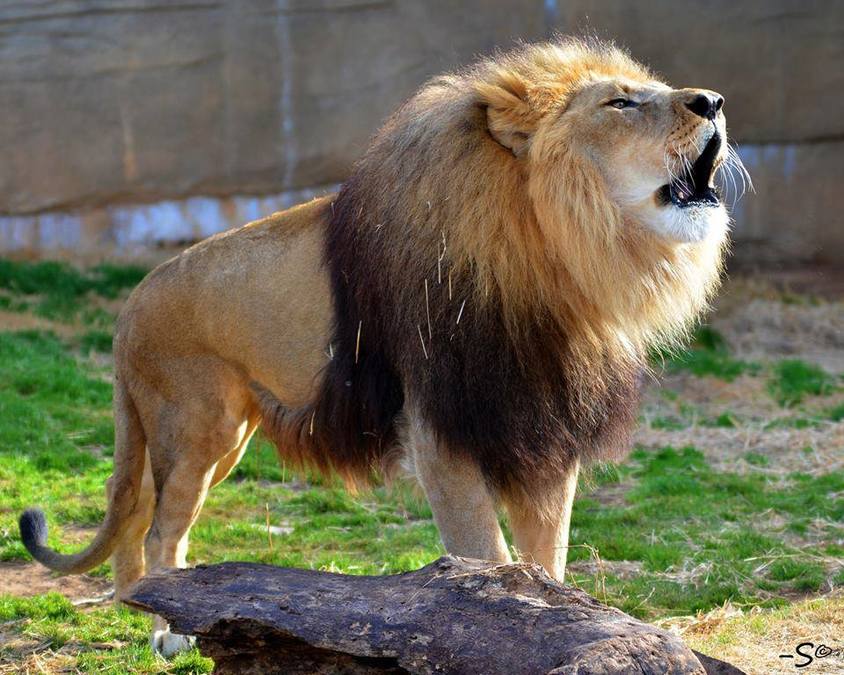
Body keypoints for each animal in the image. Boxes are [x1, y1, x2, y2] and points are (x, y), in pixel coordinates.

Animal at [20, 38, 737, 655]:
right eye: (620, 102)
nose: (713, 101)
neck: (555, 258)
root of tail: (127, 309)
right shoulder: (442, 430)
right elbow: (487, 553)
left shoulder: (543, 428)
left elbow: (546, 555)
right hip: (199, 430)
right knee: (163, 527)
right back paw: (170, 632)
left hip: (214, 439)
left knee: (136, 511)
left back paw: (134, 603)